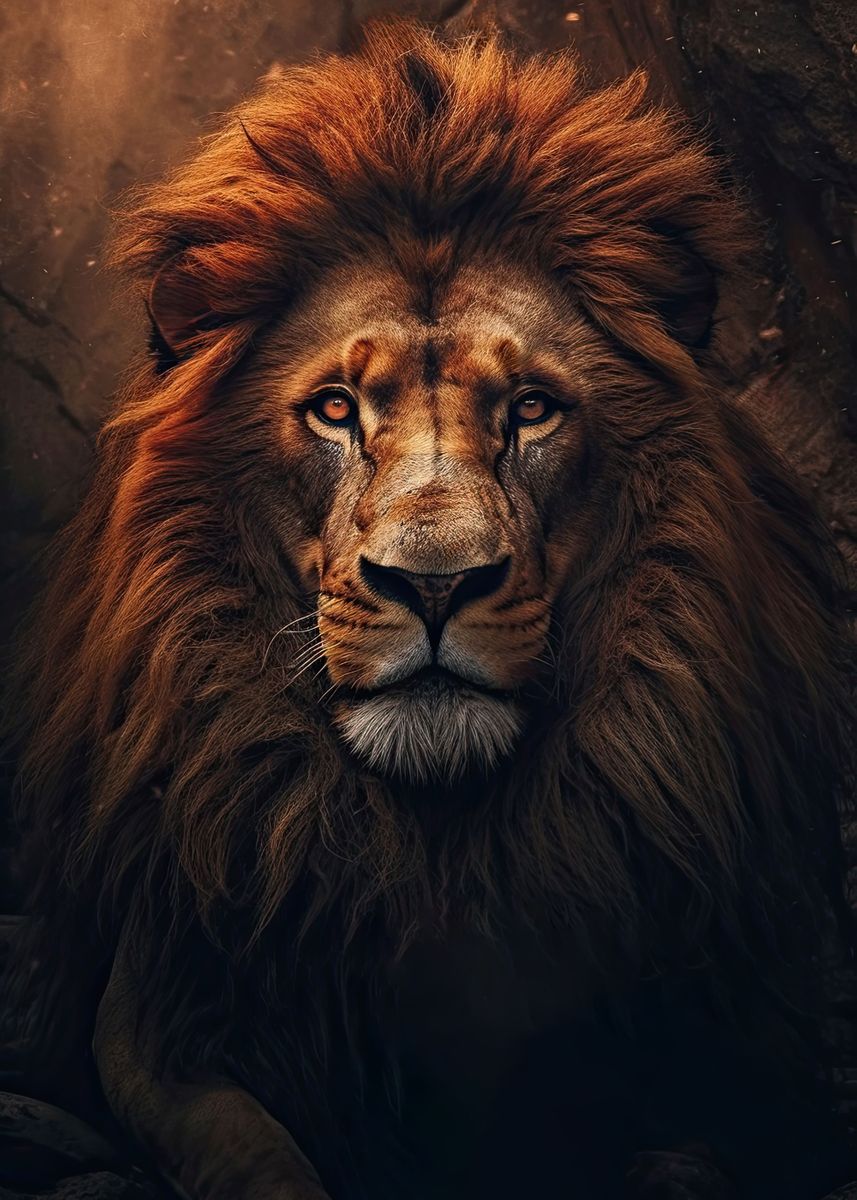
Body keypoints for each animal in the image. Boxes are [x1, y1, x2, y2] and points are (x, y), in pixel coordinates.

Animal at [6, 20, 856, 1200]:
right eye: (333, 410)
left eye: (531, 409)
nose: (436, 585)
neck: (440, 841)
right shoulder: (162, 1032)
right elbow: (262, 1165)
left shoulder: (728, 1059)